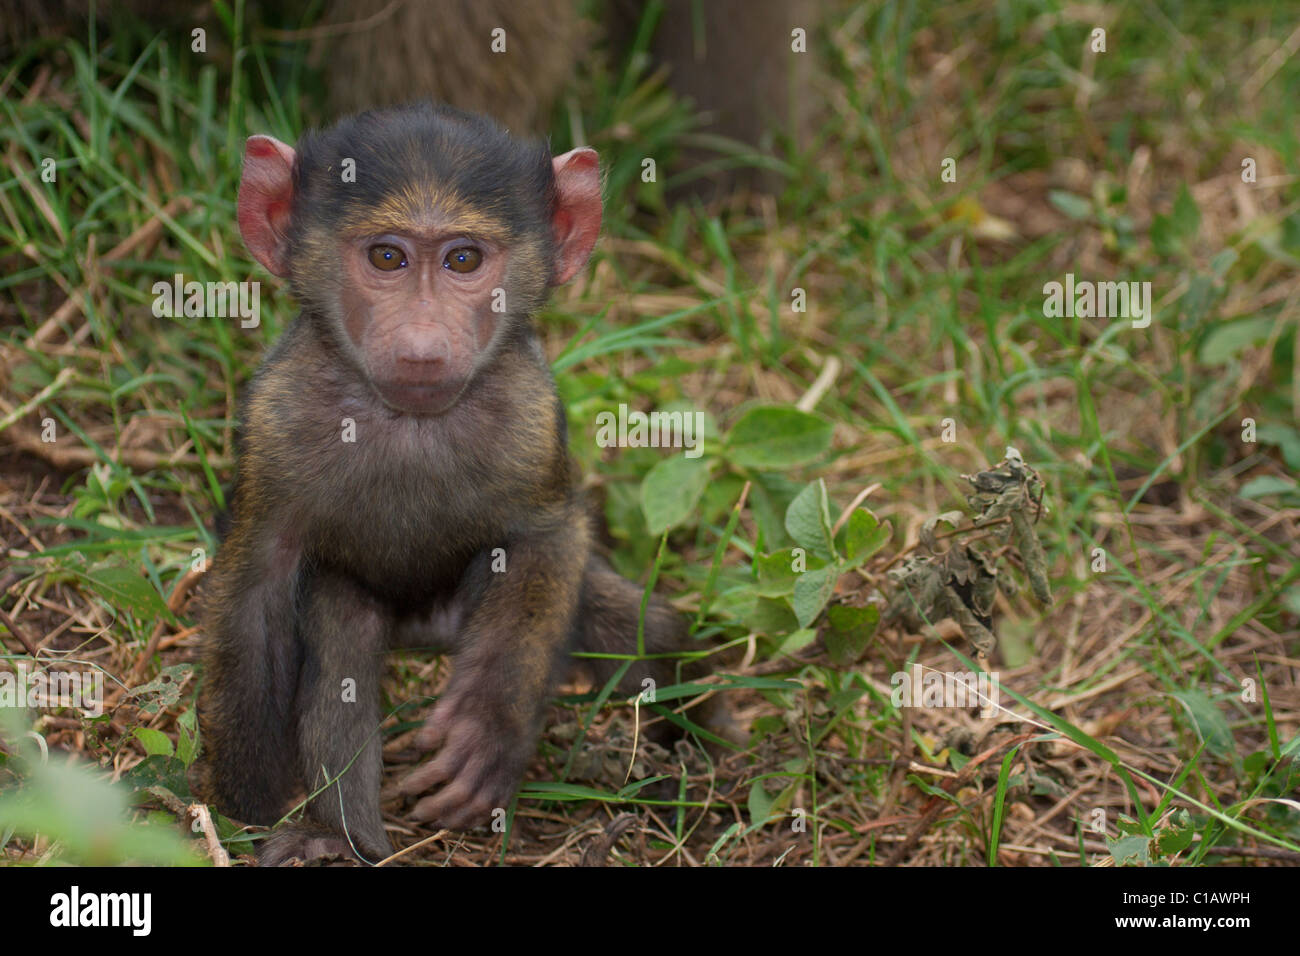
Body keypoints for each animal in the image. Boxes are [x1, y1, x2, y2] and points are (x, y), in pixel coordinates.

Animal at [194, 102, 691, 865]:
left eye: (463, 260)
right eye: (386, 258)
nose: (424, 344)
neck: (409, 422)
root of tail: (423, 628)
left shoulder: (532, 419)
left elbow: (549, 538)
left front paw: (486, 727)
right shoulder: (274, 420)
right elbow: (256, 586)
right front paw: (244, 811)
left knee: (637, 622)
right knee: (343, 630)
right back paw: (344, 836)